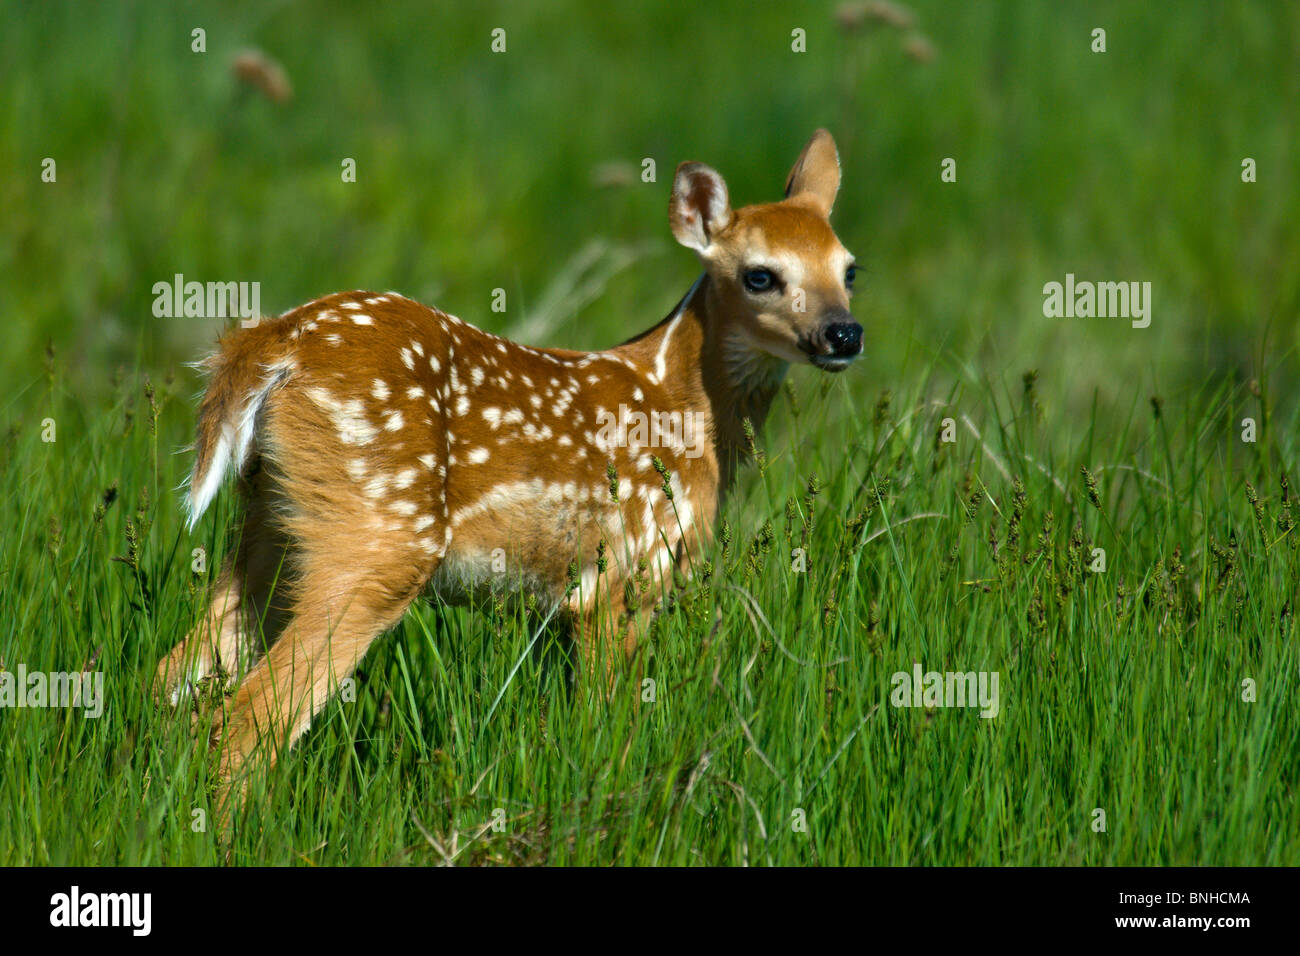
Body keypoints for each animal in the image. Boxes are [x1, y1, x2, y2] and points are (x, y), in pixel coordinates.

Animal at [156, 129, 863, 819]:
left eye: (849, 268)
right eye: (760, 275)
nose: (844, 334)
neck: (682, 407)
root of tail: (273, 341)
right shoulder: (622, 579)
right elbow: (606, 726)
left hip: (272, 524)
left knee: (173, 681)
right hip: (377, 533)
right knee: (249, 716)